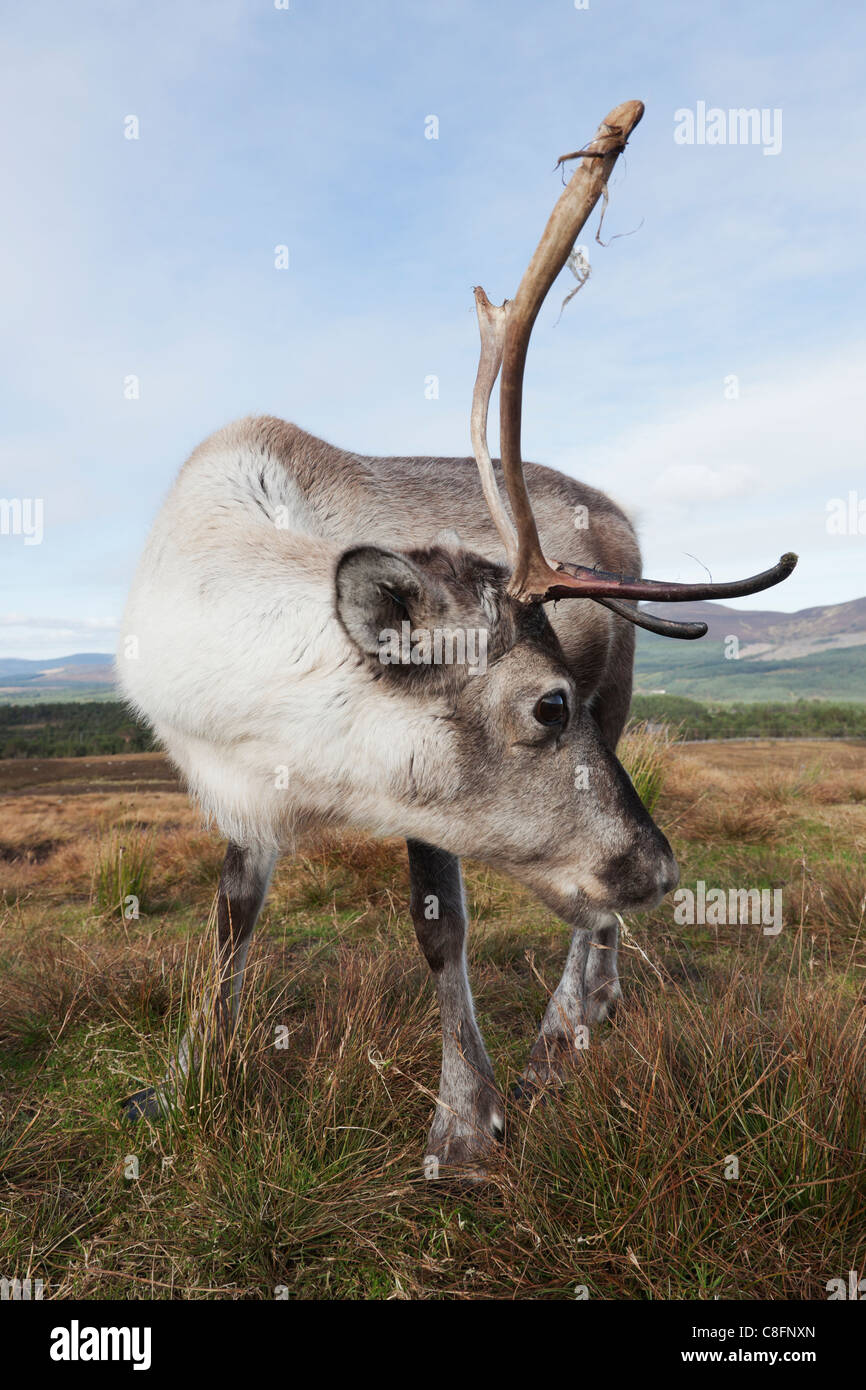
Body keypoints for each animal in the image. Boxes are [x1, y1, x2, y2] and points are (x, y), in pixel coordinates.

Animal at [117, 100, 796, 1173]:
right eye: (543, 706)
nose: (663, 871)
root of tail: (619, 517)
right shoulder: (242, 791)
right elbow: (230, 926)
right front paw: (183, 1080)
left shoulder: (414, 796)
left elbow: (441, 932)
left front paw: (467, 1120)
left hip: (624, 692)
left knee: (587, 910)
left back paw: (566, 1030)